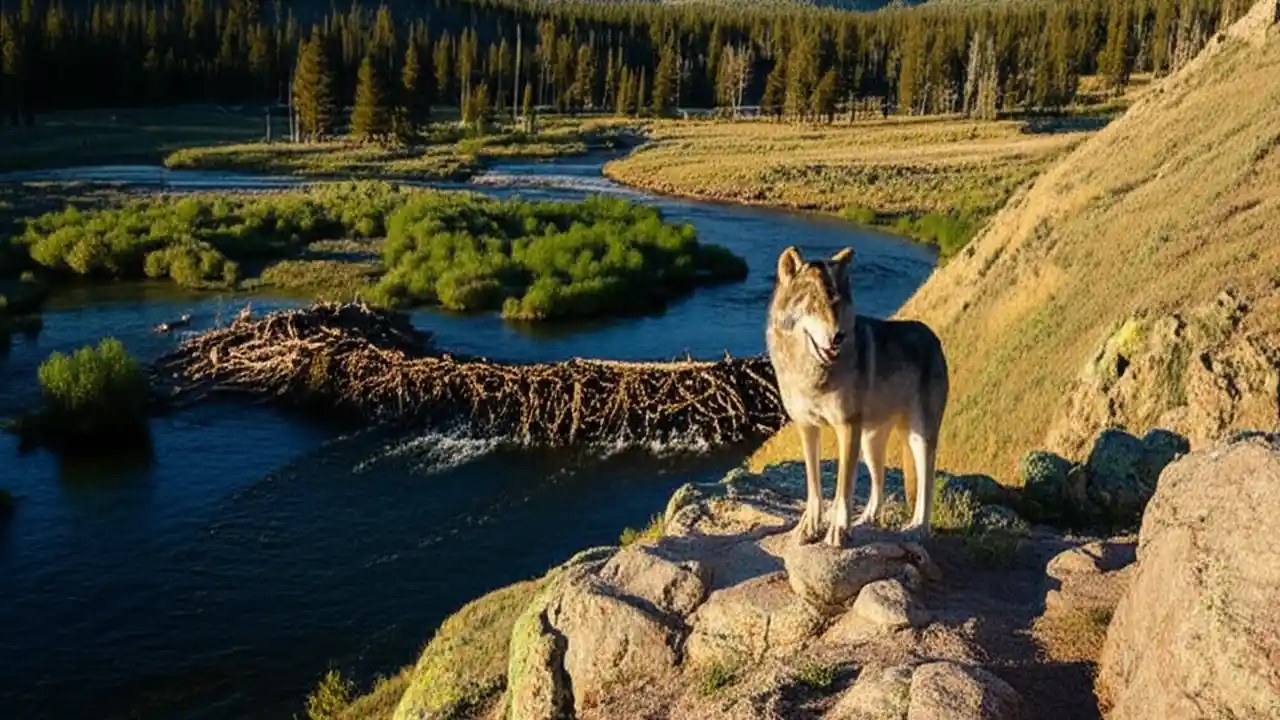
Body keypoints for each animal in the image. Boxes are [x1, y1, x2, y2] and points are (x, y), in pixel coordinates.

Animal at [766, 246, 949, 545]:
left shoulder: (847, 427)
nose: (838, 336)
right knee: (879, 483)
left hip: (918, 437)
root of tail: (933, 337)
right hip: (870, 442)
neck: (811, 373)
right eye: (815, 302)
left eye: (837, 303)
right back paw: (866, 520)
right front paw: (808, 528)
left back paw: (917, 528)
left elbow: (843, 489)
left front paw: (838, 532)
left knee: (926, 483)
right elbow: (813, 486)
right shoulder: (807, 426)